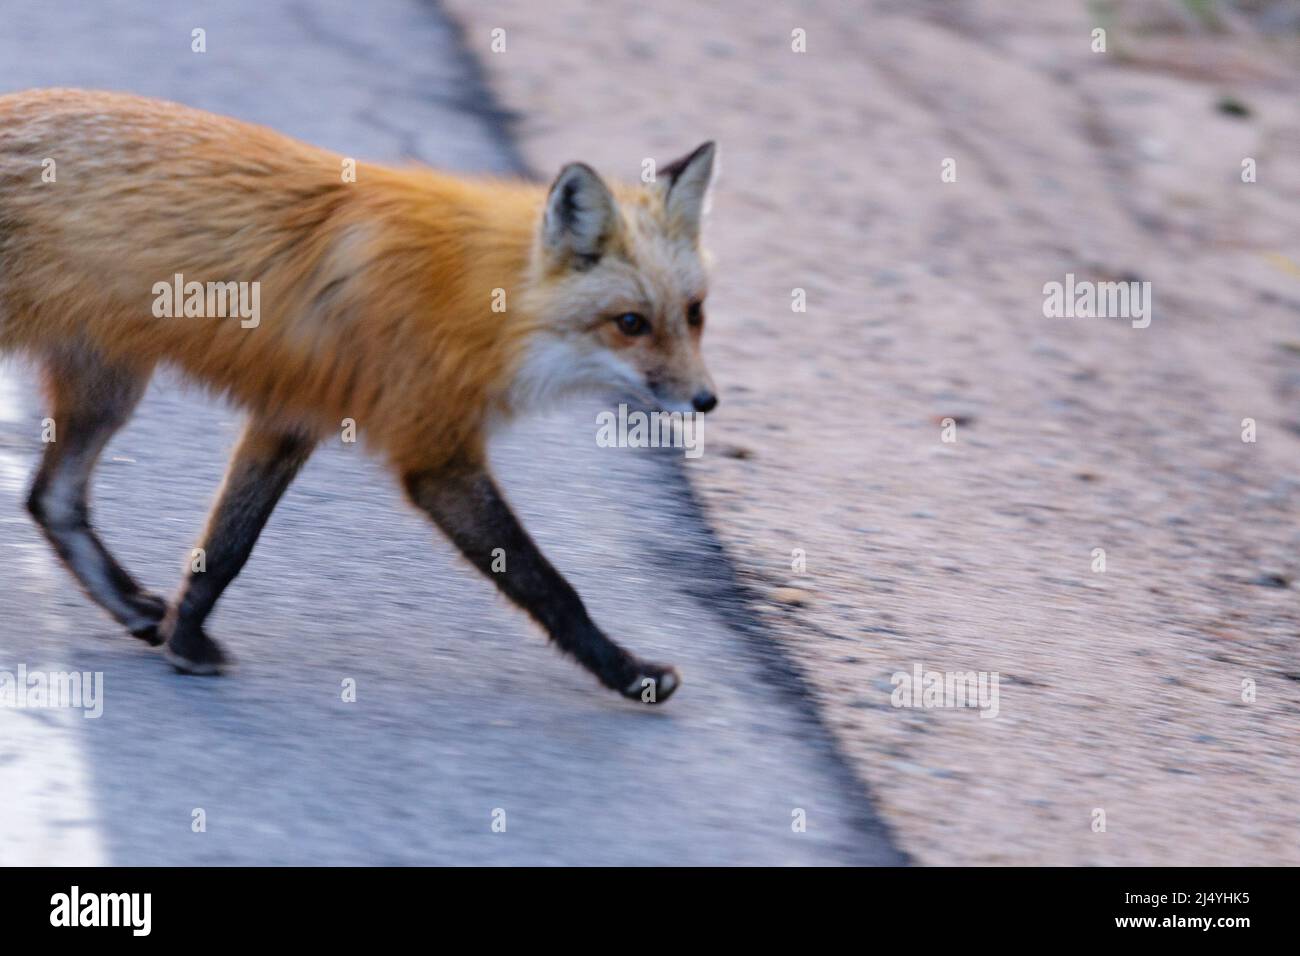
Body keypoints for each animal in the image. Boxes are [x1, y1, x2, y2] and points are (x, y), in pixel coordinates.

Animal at [0, 88, 720, 703]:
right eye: (631, 323)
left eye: (694, 313)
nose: (706, 402)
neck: (477, 296)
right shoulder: (434, 456)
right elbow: (549, 585)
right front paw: (629, 673)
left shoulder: (290, 417)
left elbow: (226, 549)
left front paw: (185, 637)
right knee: (50, 497)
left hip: (110, 389)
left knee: (51, 499)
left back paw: (130, 606)